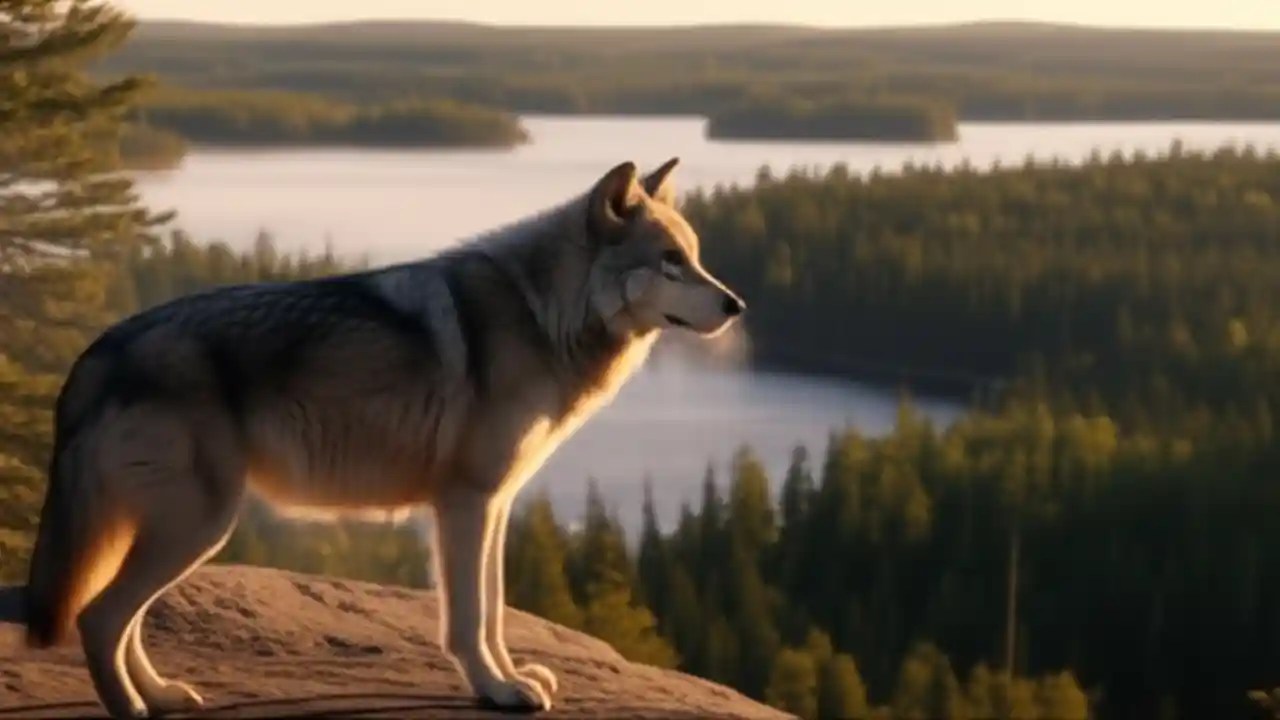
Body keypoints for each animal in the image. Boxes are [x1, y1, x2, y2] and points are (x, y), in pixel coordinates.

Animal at [11, 158, 744, 718]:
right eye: (670, 261)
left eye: (698, 258)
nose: (737, 305)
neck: (544, 313)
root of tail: (98, 351)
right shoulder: (465, 503)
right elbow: (469, 618)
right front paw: (496, 690)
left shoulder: (496, 504)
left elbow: (494, 610)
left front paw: (512, 679)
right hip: (197, 527)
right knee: (99, 617)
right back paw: (133, 706)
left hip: (178, 530)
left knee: (125, 620)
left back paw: (161, 696)